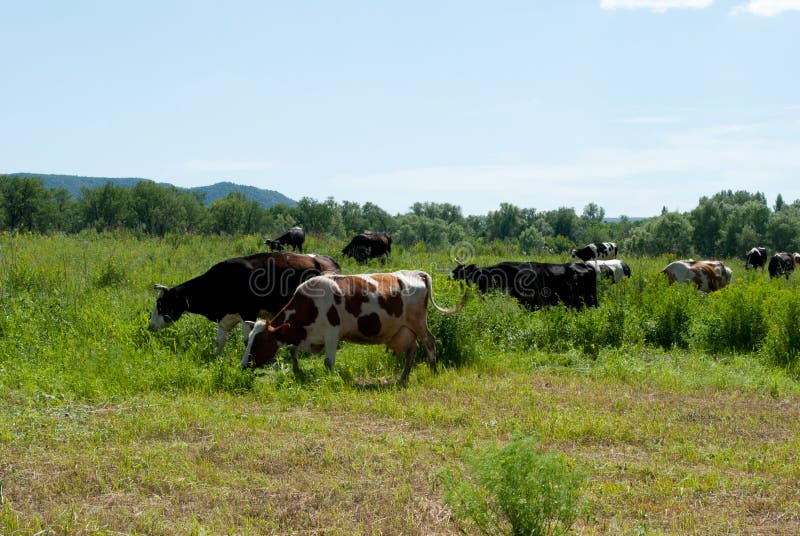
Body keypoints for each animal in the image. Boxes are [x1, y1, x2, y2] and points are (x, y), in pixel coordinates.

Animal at [149, 252, 341, 355]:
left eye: (161, 304)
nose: (150, 326)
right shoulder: (226, 317)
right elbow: (220, 340)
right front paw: (215, 359)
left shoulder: (248, 312)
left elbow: (247, 339)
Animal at [241, 270, 465, 386]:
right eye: (247, 340)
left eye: (259, 342)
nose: (243, 365)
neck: (311, 304)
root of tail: (416, 273)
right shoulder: (307, 336)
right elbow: (292, 351)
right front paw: (298, 371)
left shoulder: (332, 334)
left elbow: (328, 363)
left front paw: (331, 381)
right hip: (403, 330)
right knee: (413, 349)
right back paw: (402, 378)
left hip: (418, 322)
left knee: (429, 342)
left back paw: (433, 370)